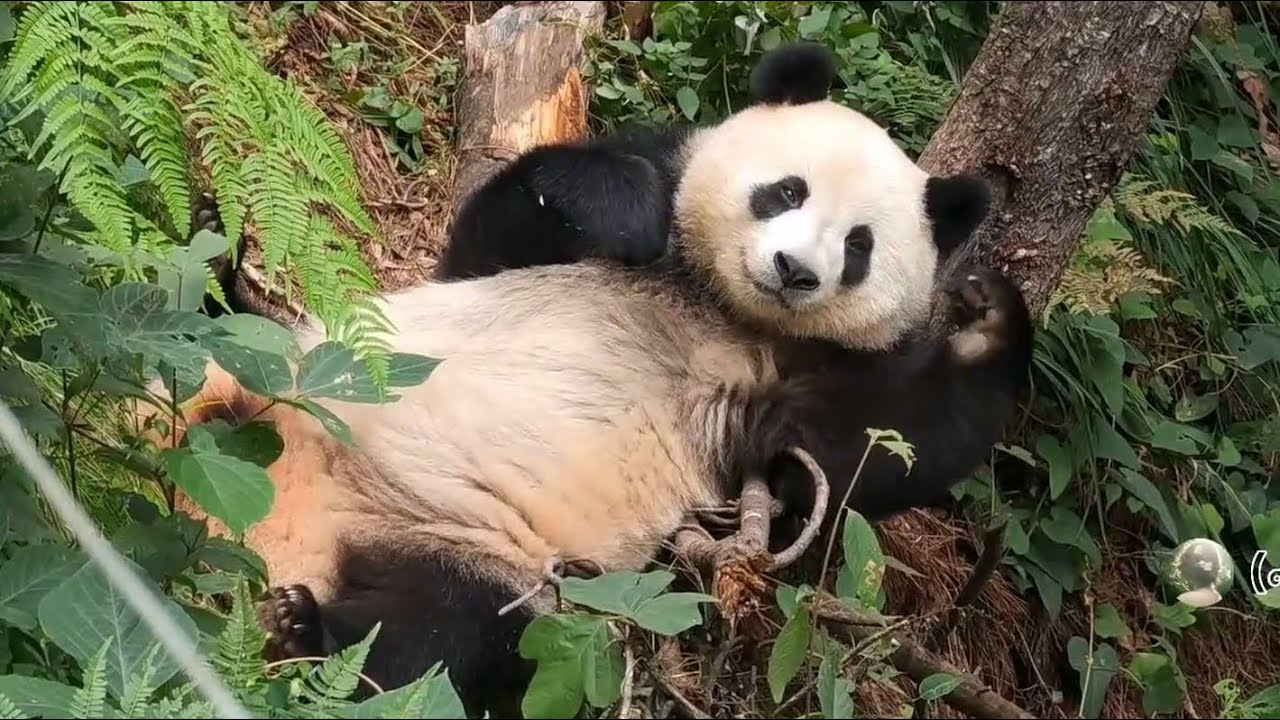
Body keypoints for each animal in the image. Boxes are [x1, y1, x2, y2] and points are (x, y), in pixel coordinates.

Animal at [157, 42, 1032, 719]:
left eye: (858, 245)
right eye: (787, 190)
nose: (793, 270)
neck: (719, 306)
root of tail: (275, 528)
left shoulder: (789, 382)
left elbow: (866, 452)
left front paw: (988, 317)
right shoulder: (569, 238)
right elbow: (499, 233)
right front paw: (627, 202)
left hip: (459, 543)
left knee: (440, 638)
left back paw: (302, 630)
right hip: (272, 366)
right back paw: (212, 255)